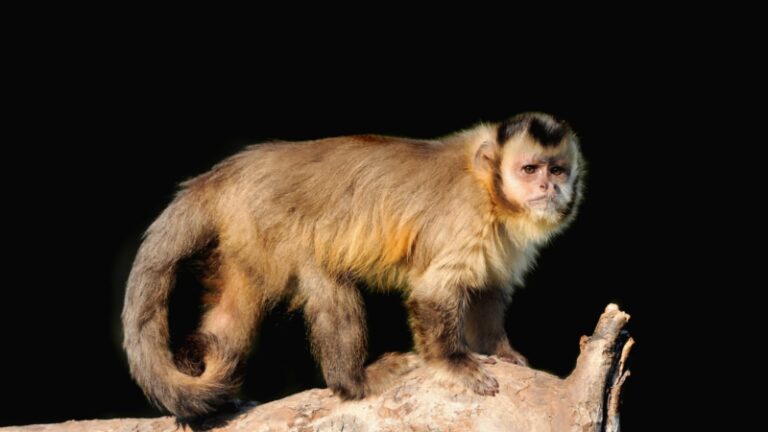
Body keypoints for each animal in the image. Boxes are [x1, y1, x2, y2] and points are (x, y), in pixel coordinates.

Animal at [122, 112, 585, 418]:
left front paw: (500, 352)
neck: (489, 190)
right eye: (529, 169)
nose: (549, 187)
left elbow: (488, 291)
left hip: (245, 234)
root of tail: (226, 172)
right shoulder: (466, 215)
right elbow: (433, 293)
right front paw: (455, 363)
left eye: (558, 170)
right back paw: (352, 382)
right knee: (328, 280)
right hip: (270, 218)